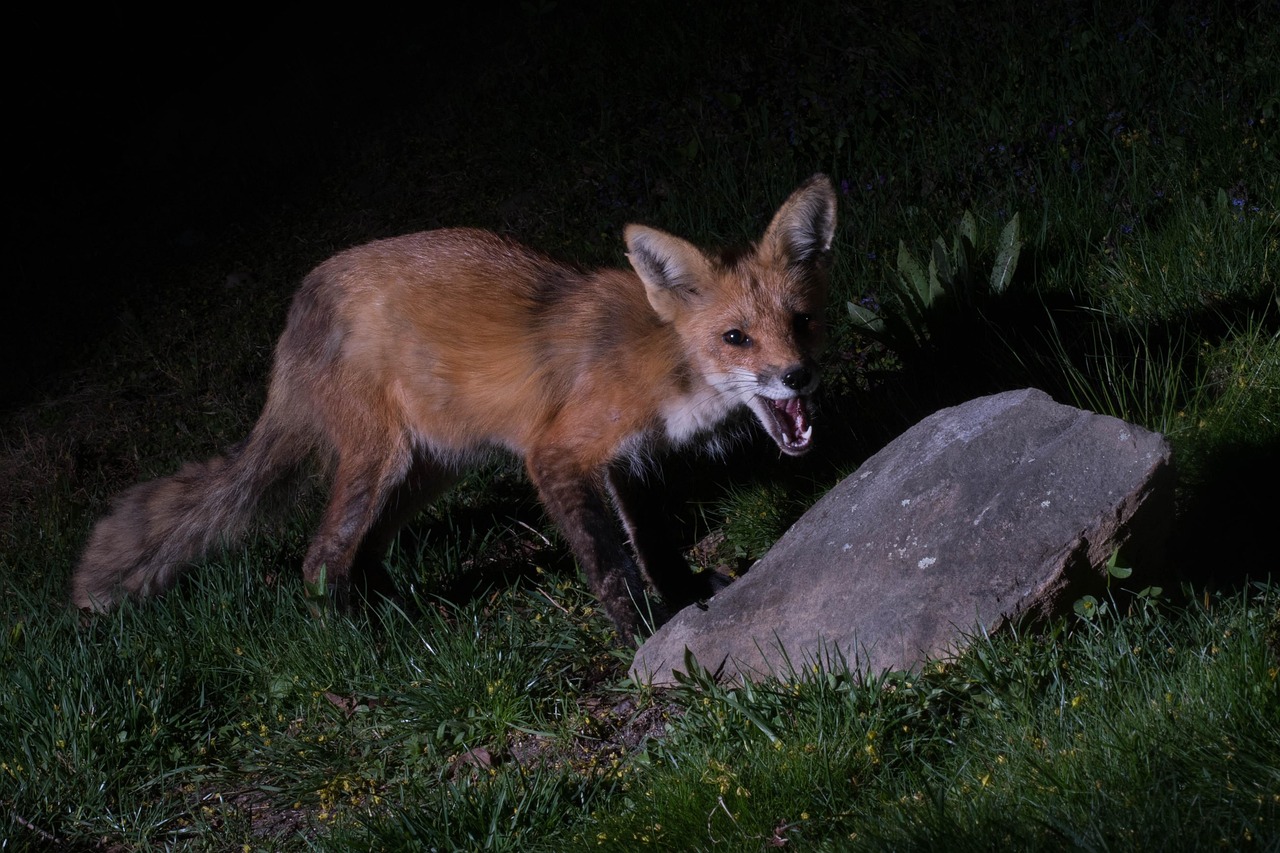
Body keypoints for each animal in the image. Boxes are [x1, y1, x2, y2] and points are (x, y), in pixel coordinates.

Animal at [71, 174, 837, 638]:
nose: (797, 377)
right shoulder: (558, 452)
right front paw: (639, 634)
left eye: (801, 322)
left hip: (427, 471)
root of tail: (299, 307)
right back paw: (360, 643)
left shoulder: (630, 461)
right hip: (379, 463)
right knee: (319, 559)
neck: (663, 361)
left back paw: (393, 613)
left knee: (365, 550)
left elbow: (652, 542)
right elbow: (607, 560)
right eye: (736, 338)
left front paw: (681, 601)